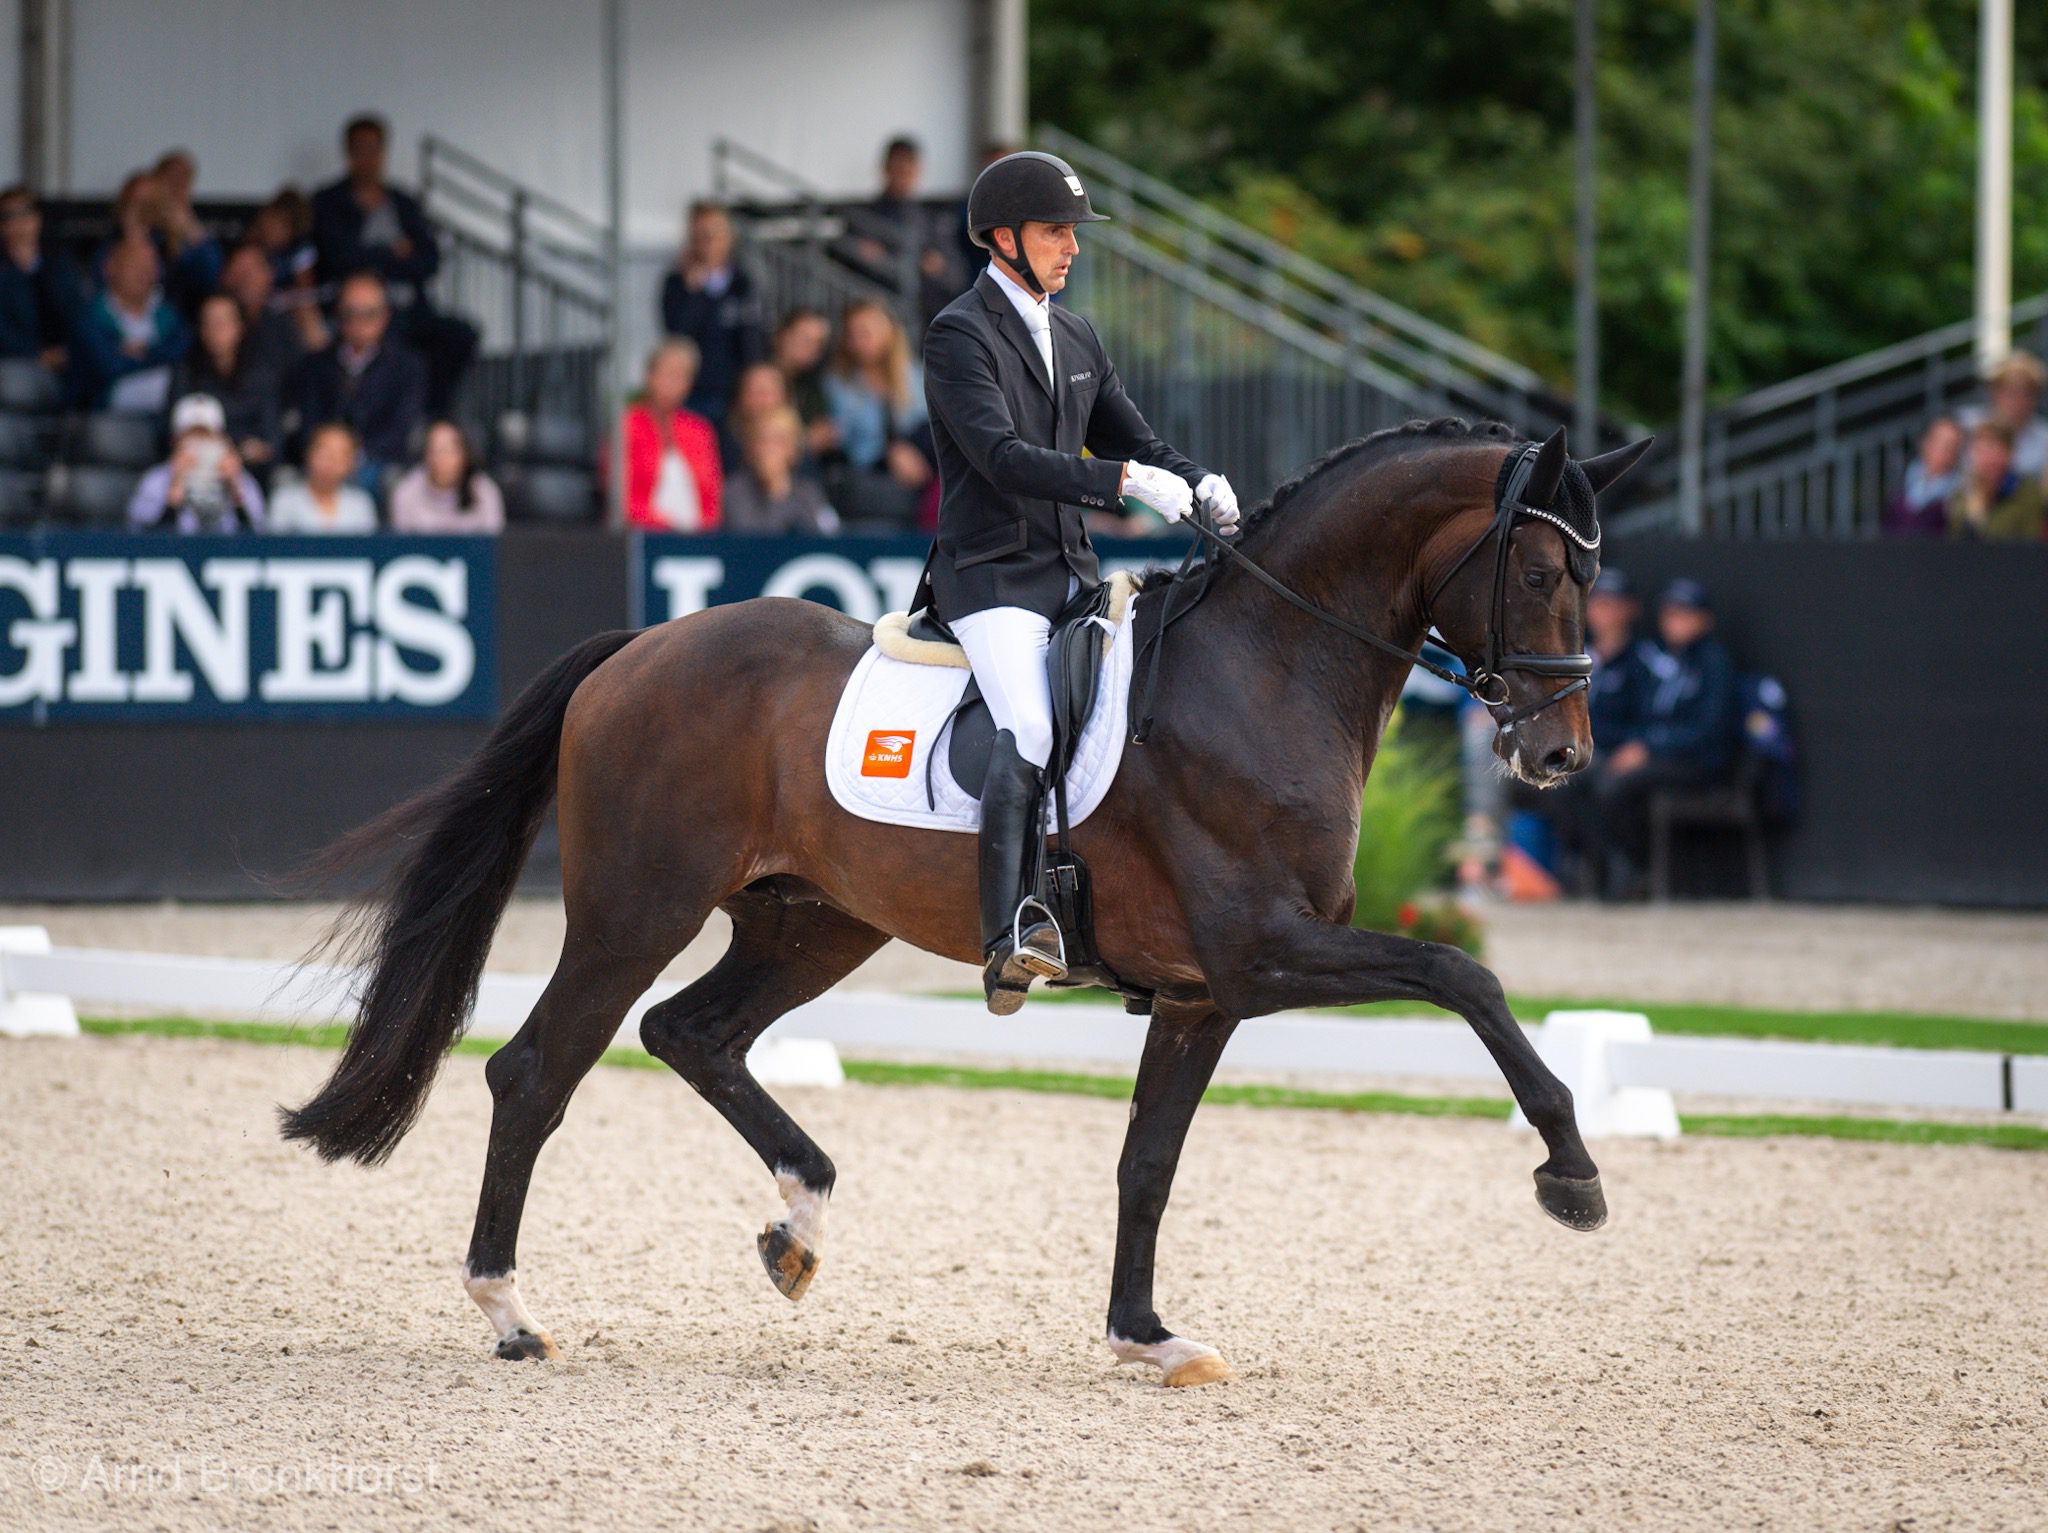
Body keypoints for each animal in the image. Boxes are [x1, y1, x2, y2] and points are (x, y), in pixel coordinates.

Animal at [281, 417, 1651, 1387]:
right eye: (1538, 569)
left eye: (1591, 574)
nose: (1558, 757)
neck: (1263, 672)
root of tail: (638, 649)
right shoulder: (1261, 953)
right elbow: (1463, 975)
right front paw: (1572, 1172)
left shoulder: (1203, 996)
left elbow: (1147, 1159)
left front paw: (1144, 1333)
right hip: (636, 911)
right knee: (538, 1071)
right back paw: (511, 1313)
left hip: (812, 922)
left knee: (691, 1033)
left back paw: (798, 1225)